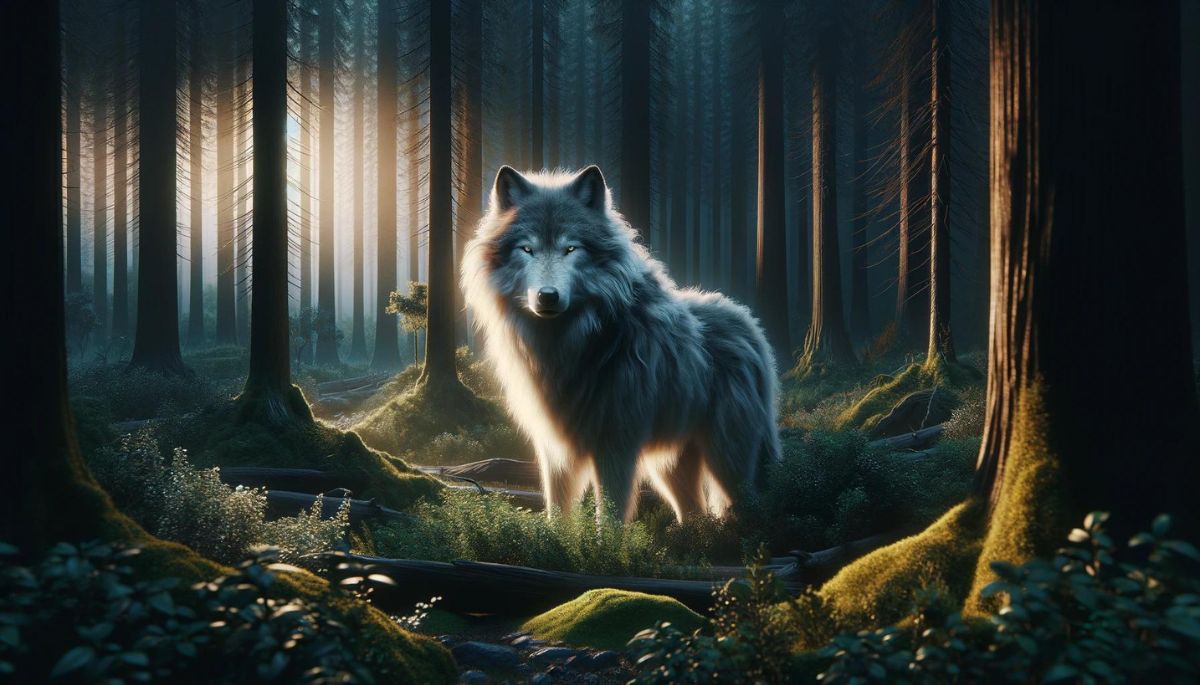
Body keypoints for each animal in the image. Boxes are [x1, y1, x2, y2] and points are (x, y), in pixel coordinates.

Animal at [461, 165, 780, 523]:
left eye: (570, 249)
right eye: (527, 249)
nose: (547, 296)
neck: (567, 344)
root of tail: (751, 325)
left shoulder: (615, 446)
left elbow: (611, 519)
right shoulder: (553, 450)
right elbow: (557, 514)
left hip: (729, 462)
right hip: (670, 467)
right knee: (694, 515)